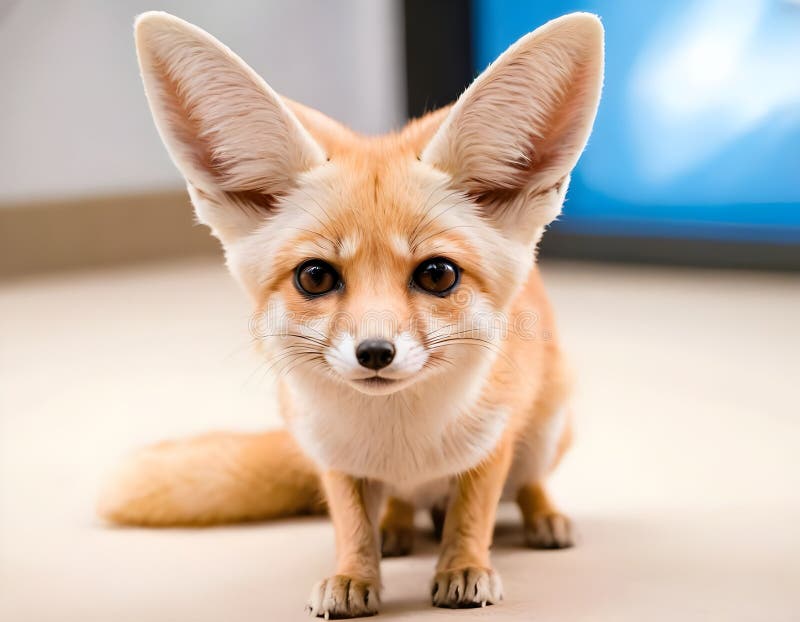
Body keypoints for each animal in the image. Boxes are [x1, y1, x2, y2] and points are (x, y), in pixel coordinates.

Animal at [98, 10, 604, 618]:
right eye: (315, 277)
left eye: (438, 274)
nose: (375, 353)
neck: (400, 446)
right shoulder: (332, 456)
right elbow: (351, 526)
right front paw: (354, 576)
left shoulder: (494, 439)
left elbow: (471, 516)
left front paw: (463, 567)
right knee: (400, 511)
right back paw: (397, 528)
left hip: (546, 430)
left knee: (527, 484)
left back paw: (544, 518)